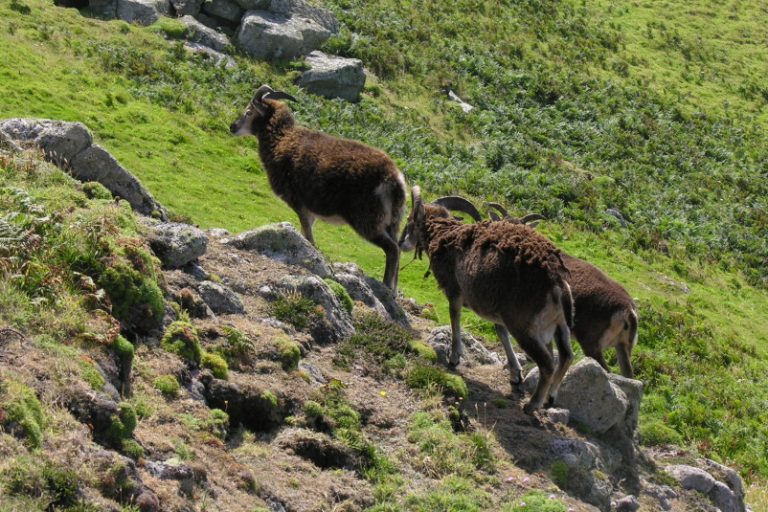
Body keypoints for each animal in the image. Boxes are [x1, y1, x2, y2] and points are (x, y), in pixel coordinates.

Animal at [230, 85, 407, 291]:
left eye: (249, 112)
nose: (232, 127)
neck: (281, 139)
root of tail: (394, 180)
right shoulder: (311, 211)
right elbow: (308, 236)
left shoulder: (300, 204)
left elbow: (308, 237)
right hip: (393, 222)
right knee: (398, 248)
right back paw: (394, 288)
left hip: (368, 220)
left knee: (392, 249)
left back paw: (387, 286)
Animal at [399, 187, 574, 413]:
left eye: (411, 219)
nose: (402, 243)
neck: (445, 236)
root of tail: (557, 283)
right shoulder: (498, 314)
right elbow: (501, 333)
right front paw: (515, 375)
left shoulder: (454, 292)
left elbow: (454, 318)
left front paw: (454, 358)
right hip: (559, 326)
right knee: (566, 356)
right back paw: (550, 398)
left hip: (523, 327)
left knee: (547, 363)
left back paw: (532, 405)